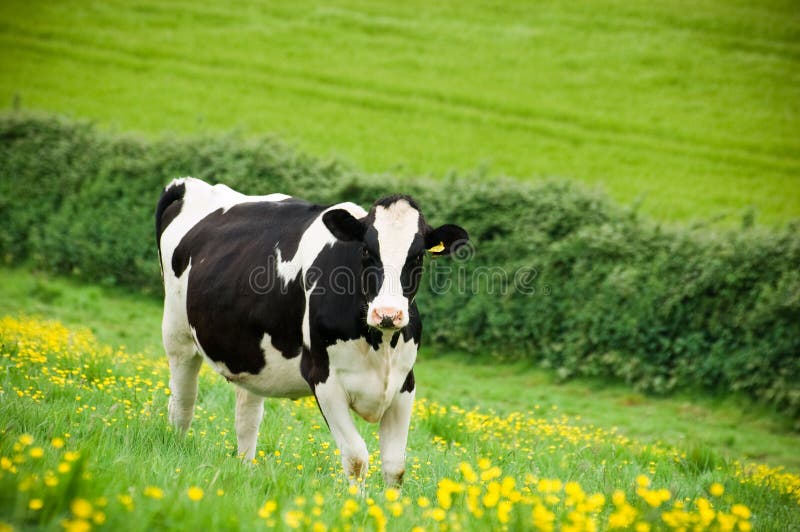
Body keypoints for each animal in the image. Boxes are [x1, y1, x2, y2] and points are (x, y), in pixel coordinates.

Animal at [155, 177, 468, 487]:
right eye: (367, 251)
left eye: (417, 257)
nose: (388, 314)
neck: (379, 346)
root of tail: (190, 184)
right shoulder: (324, 379)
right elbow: (356, 458)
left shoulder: (404, 384)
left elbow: (395, 466)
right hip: (177, 335)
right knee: (182, 403)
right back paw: (177, 454)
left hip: (252, 353)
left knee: (247, 415)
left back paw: (245, 470)